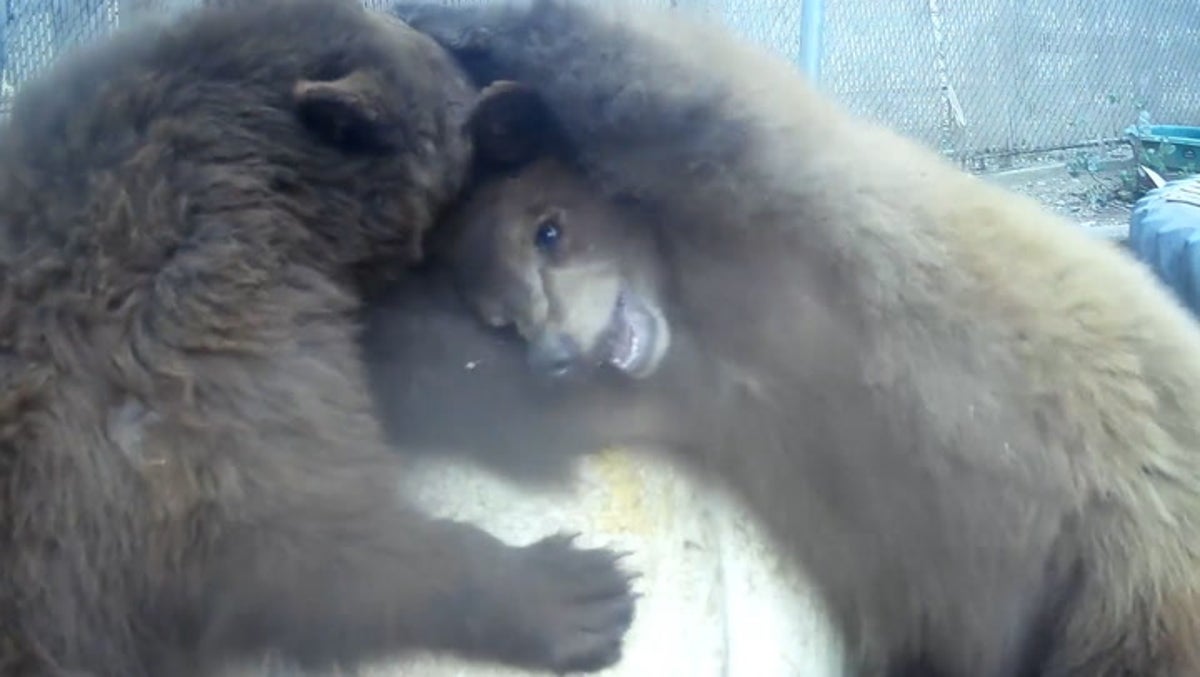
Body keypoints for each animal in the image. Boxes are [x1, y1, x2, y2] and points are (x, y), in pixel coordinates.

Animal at [391, 2, 1200, 675]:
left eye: (550, 232)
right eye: (501, 316)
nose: (552, 353)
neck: (700, 296)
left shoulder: (788, 203)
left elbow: (672, 89)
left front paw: (453, 18)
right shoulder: (700, 392)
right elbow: (500, 405)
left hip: (1134, 570)